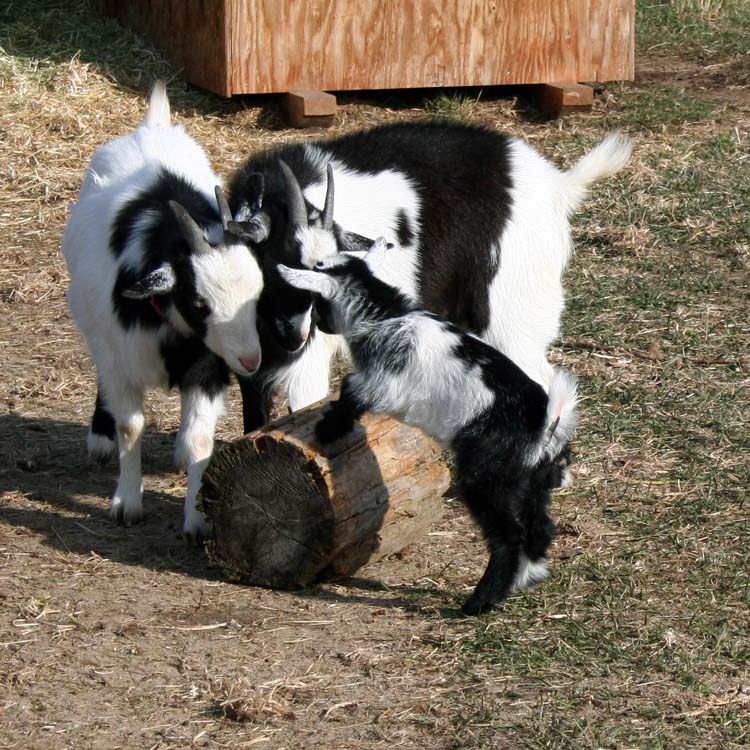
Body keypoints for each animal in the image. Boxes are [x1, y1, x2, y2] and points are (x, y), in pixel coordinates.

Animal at [62, 82, 264, 540]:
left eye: (258, 292)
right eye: (199, 302)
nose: (250, 360)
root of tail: (152, 126)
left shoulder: (208, 367)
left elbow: (200, 441)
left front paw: (198, 520)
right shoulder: (120, 356)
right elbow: (131, 426)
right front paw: (127, 503)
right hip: (95, 330)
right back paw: (99, 438)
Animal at [226, 122, 630, 432]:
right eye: (277, 257)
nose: (296, 334)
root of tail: (559, 184)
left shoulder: (306, 364)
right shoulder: (250, 366)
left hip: (514, 305)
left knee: (540, 379)